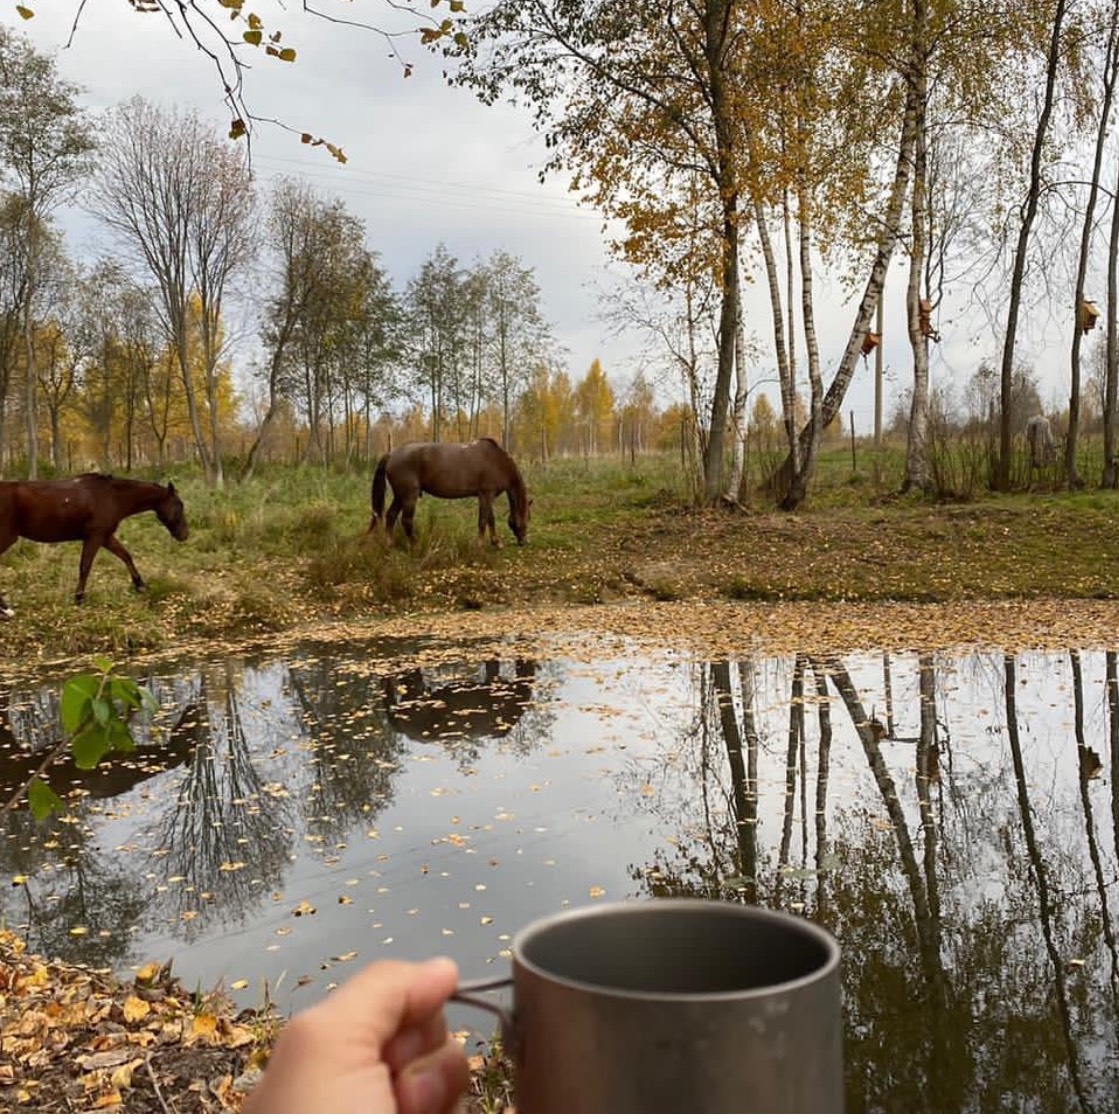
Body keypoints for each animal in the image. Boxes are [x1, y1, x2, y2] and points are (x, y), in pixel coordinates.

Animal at [0, 469, 189, 617]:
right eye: (179, 505)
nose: (185, 535)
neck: (112, 496)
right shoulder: (95, 537)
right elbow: (85, 567)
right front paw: (78, 597)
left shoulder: (105, 537)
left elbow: (126, 556)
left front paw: (140, 585)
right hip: (6, 538)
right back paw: (6, 609)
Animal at [362, 436, 528, 546]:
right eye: (527, 518)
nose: (524, 541)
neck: (497, 461)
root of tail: (392, 454)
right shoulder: (487, 495)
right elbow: (483, 521)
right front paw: (480, 545)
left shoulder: (486, 496)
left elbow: (490, 519)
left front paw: (496, 542)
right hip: (409, 496)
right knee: (406, 520)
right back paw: (415, 544)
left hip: (399, 496)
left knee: (390, 516)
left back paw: (389, 544)